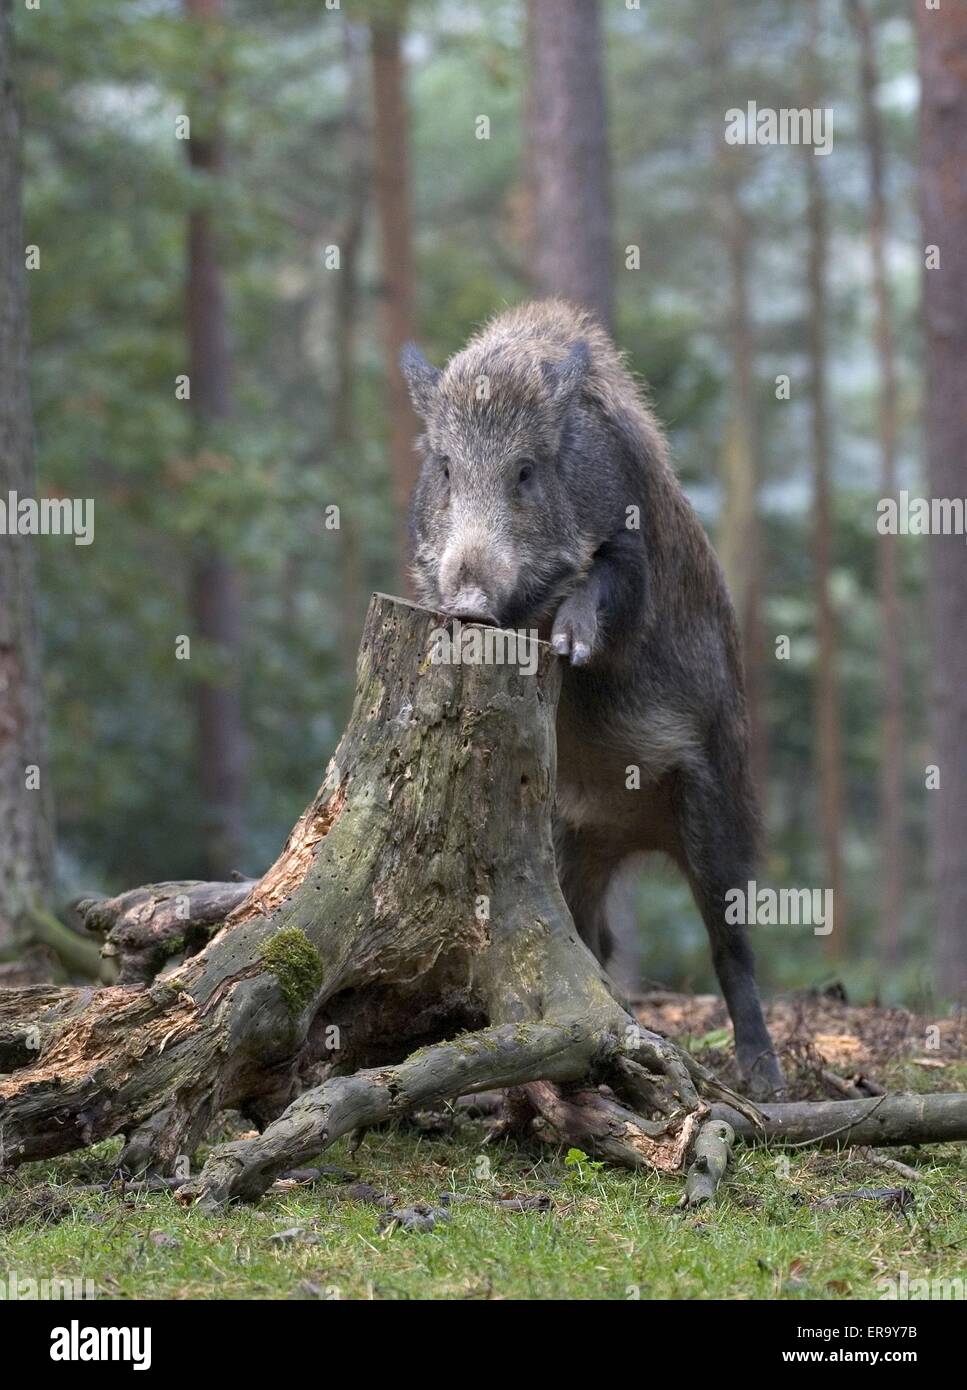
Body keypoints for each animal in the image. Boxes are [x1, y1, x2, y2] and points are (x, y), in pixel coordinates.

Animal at [401, 299, 784, 1099]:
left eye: (525, 472)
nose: (471, 606)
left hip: (720, 805)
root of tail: (625, 828)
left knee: (730, 943)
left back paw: (766, 1083)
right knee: (594, 939)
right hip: (561, 838)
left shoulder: (630, 542)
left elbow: (608, 580)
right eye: (446, 467)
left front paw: (570, 644)